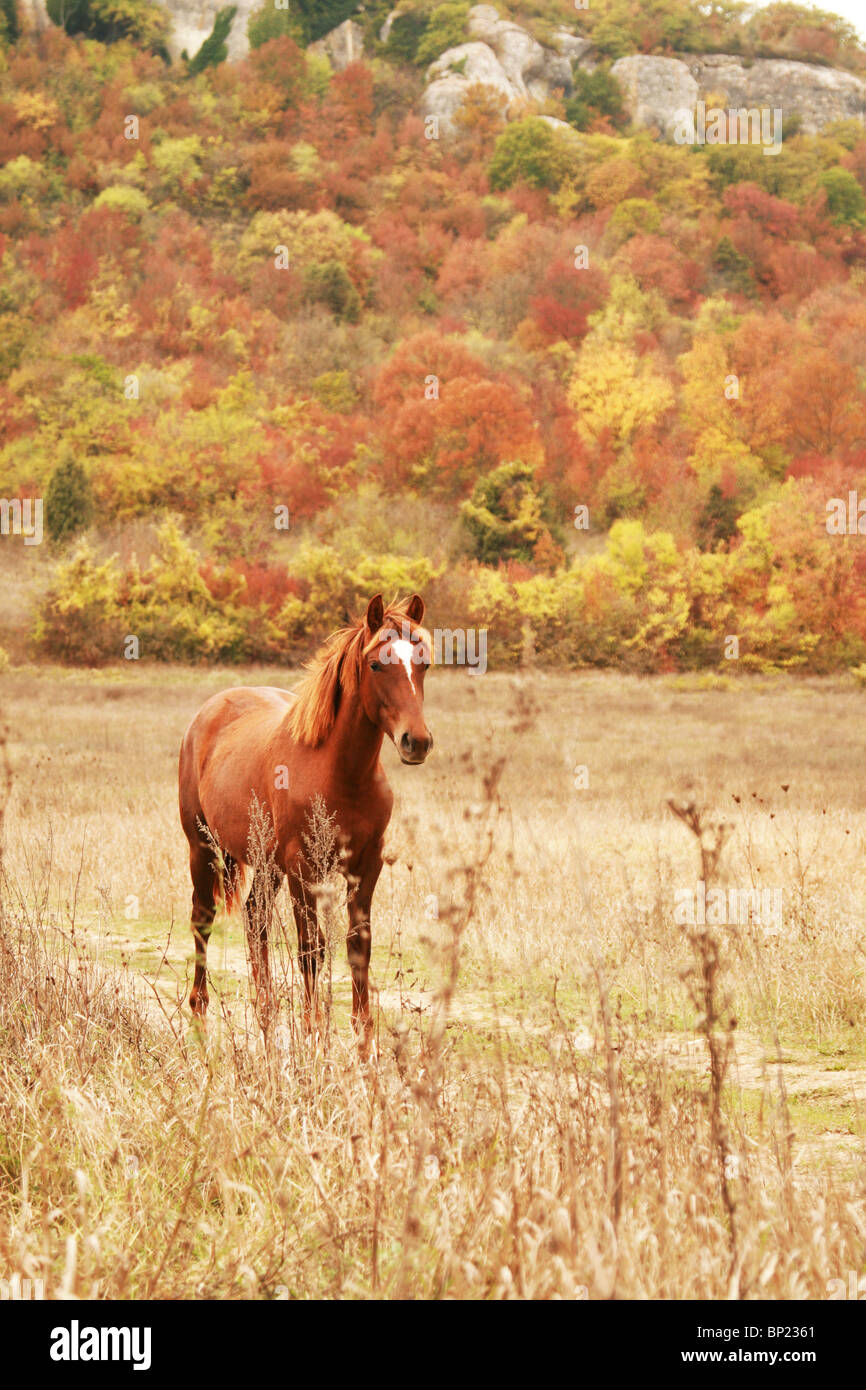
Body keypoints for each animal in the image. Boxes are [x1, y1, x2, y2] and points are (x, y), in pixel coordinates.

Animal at [177, 593, 433, 1054]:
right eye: (376, 665)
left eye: (422, 663)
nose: (416, 742)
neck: (341, 772)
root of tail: (209, 712)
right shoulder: (303, 867)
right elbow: (311, 950)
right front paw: (314, 1036)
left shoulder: (366, 865)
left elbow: (358, 945)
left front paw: (364, 1039)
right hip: (202, 849)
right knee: (203, 919)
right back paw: (201, 1019)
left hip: (266, 864)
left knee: (255, 919)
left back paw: (266, 1015)